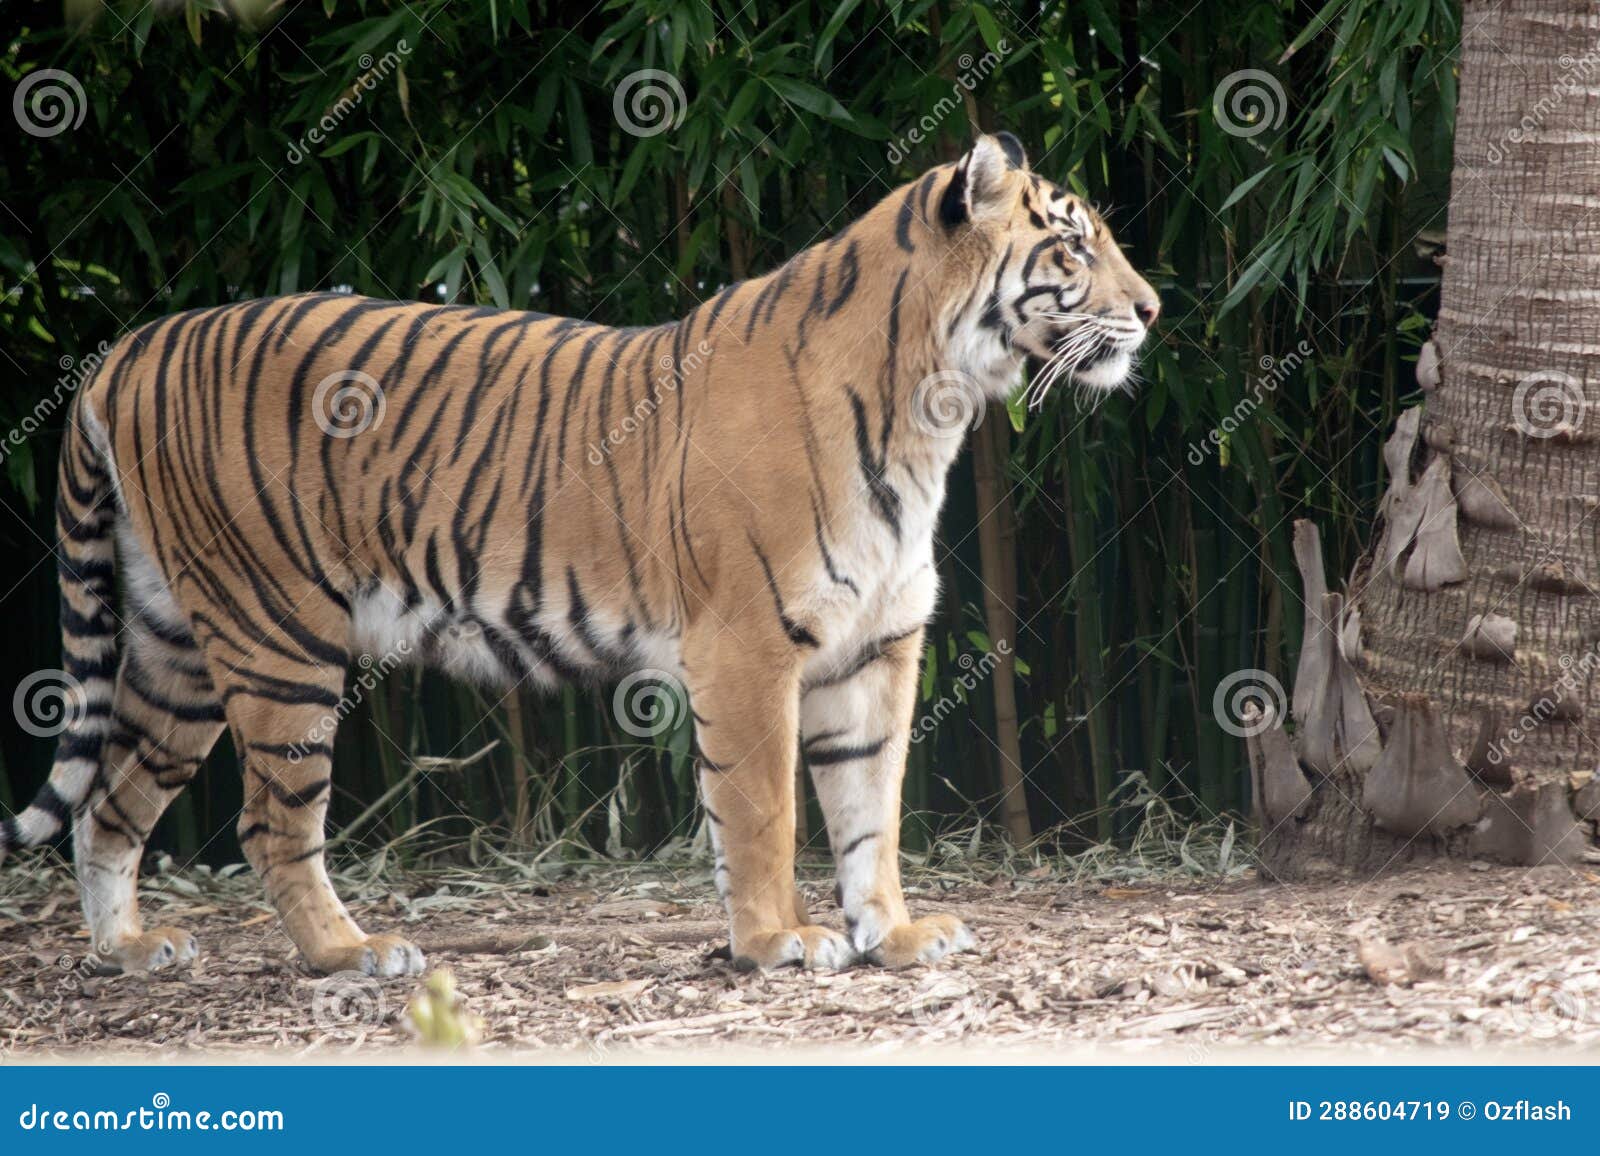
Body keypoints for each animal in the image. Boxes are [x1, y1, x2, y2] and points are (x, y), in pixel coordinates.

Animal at [2, 132, 1157, 977]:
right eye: (1073, 248)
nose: (1152, 310)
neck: (937, 402)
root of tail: (128, 347)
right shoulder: (748, 646)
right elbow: (765, 808)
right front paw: (779, 940)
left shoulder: (876, 643)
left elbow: (870, 805)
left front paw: (896, 933)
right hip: (276, 638)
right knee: (266, 822)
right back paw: (354, 954)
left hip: (178, 647)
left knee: (108, 804)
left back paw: (130, 950)